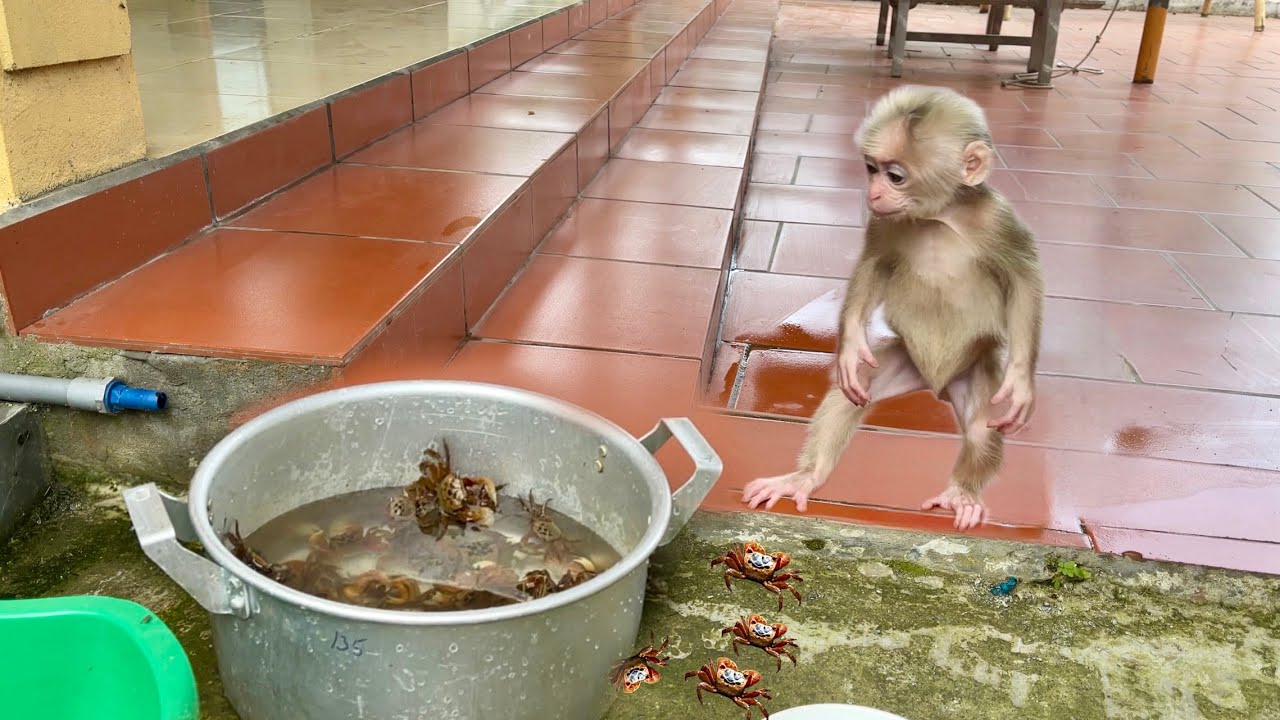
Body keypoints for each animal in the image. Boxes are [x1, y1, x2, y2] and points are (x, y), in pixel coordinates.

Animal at [742, 85, 1044, 531]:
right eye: (871, 169)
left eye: (895, 176)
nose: (873, 193)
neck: (940, 217)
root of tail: (936, 385)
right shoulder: (882, 223)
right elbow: (872, 265)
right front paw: (850, 347)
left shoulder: (997, 220)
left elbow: (1024, 279)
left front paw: (1021, 380)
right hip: (904, 360)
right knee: (848, 397)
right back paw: (806, 476)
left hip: (973, 369)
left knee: (978, 430)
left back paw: (962, 493)